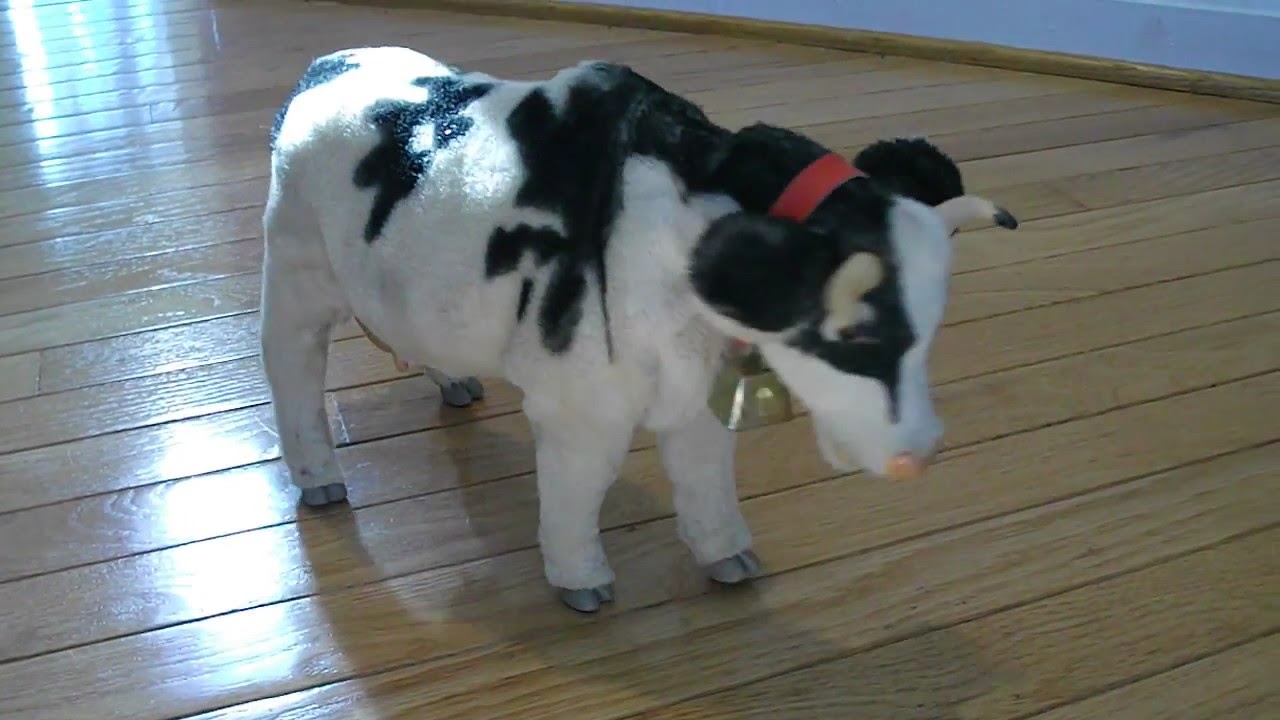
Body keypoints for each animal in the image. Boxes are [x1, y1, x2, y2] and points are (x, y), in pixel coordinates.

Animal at [262, 46, 1019, 613]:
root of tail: (325, 68)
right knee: (292, 379)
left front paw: (730, 558)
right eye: (857, 336)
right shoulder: (579, 409)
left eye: (930, 329)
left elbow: (705, 479)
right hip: (294, 275)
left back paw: (454, 382)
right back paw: (320, 481)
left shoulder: (698, 394)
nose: (921, 452)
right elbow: (577, 495)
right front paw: (582, 585)